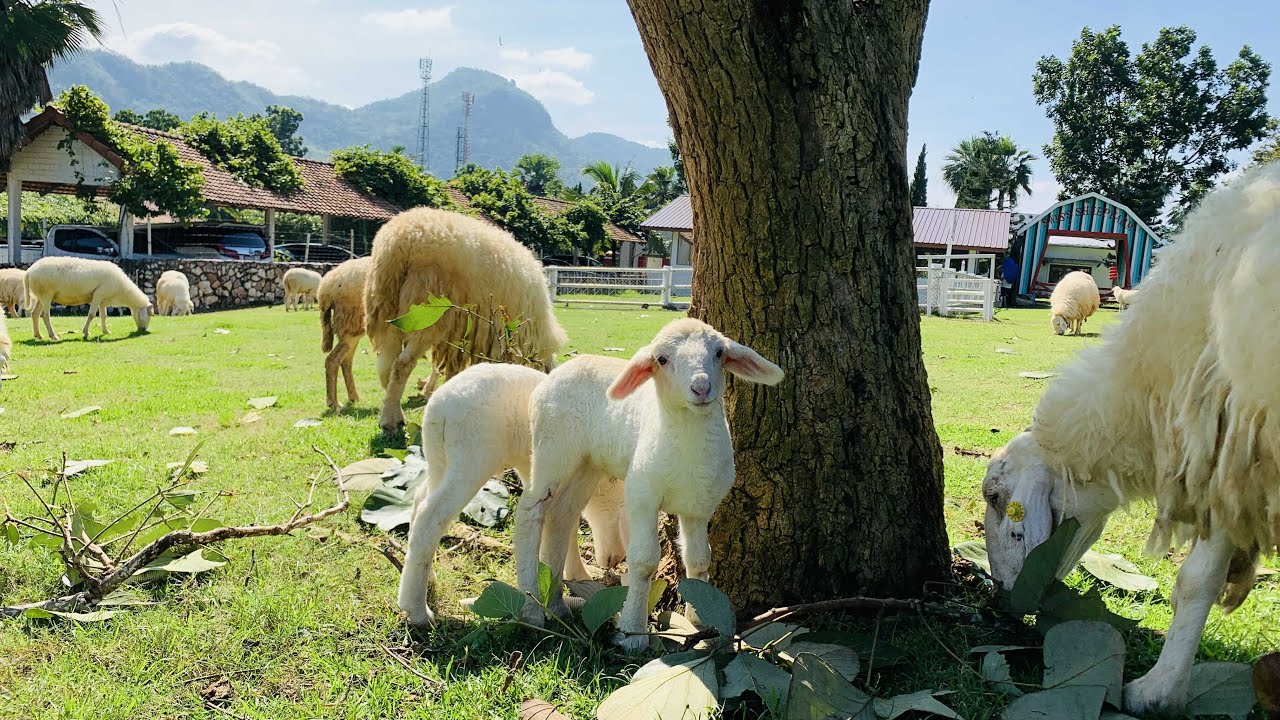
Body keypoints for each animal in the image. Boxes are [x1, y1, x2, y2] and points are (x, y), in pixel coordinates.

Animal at [318, 257, 370, 411]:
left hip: (351, 328)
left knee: (346, 361)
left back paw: (353, 397)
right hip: (351, 323)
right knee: (333, 360)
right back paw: (334, 403)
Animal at [364, 207, 568, 434]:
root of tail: (397, 244)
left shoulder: (460, 336)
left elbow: (450, 370)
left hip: (386, 309)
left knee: (386, 367)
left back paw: (394, 413)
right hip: (425, 312)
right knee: (402, 364)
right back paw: (390, 421)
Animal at [396, 362, 628, 628]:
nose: (615, 561)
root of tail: (438, 407)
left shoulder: (537, 474)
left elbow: (563, 525)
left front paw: (570, 574)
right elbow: (561, 521)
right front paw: (575, 577)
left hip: (439, 459)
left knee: (419, 499)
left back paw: (426, 579)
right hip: (472, 459)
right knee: (430, 516)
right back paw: (417, 611)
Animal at [513, 318, 784, 653]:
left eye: (719, 352)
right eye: (662, 360)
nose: (701, 387)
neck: (688, 445)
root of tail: (561, 370)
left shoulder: (699, 506)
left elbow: (699, 559)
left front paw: (700, 619)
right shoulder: (642, 495)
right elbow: (643, 561)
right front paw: (632, 632)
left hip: (587, 464)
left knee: (561, 515)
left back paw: (556, 606)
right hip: (551, 450)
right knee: (530, 512)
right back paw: (532, 609)